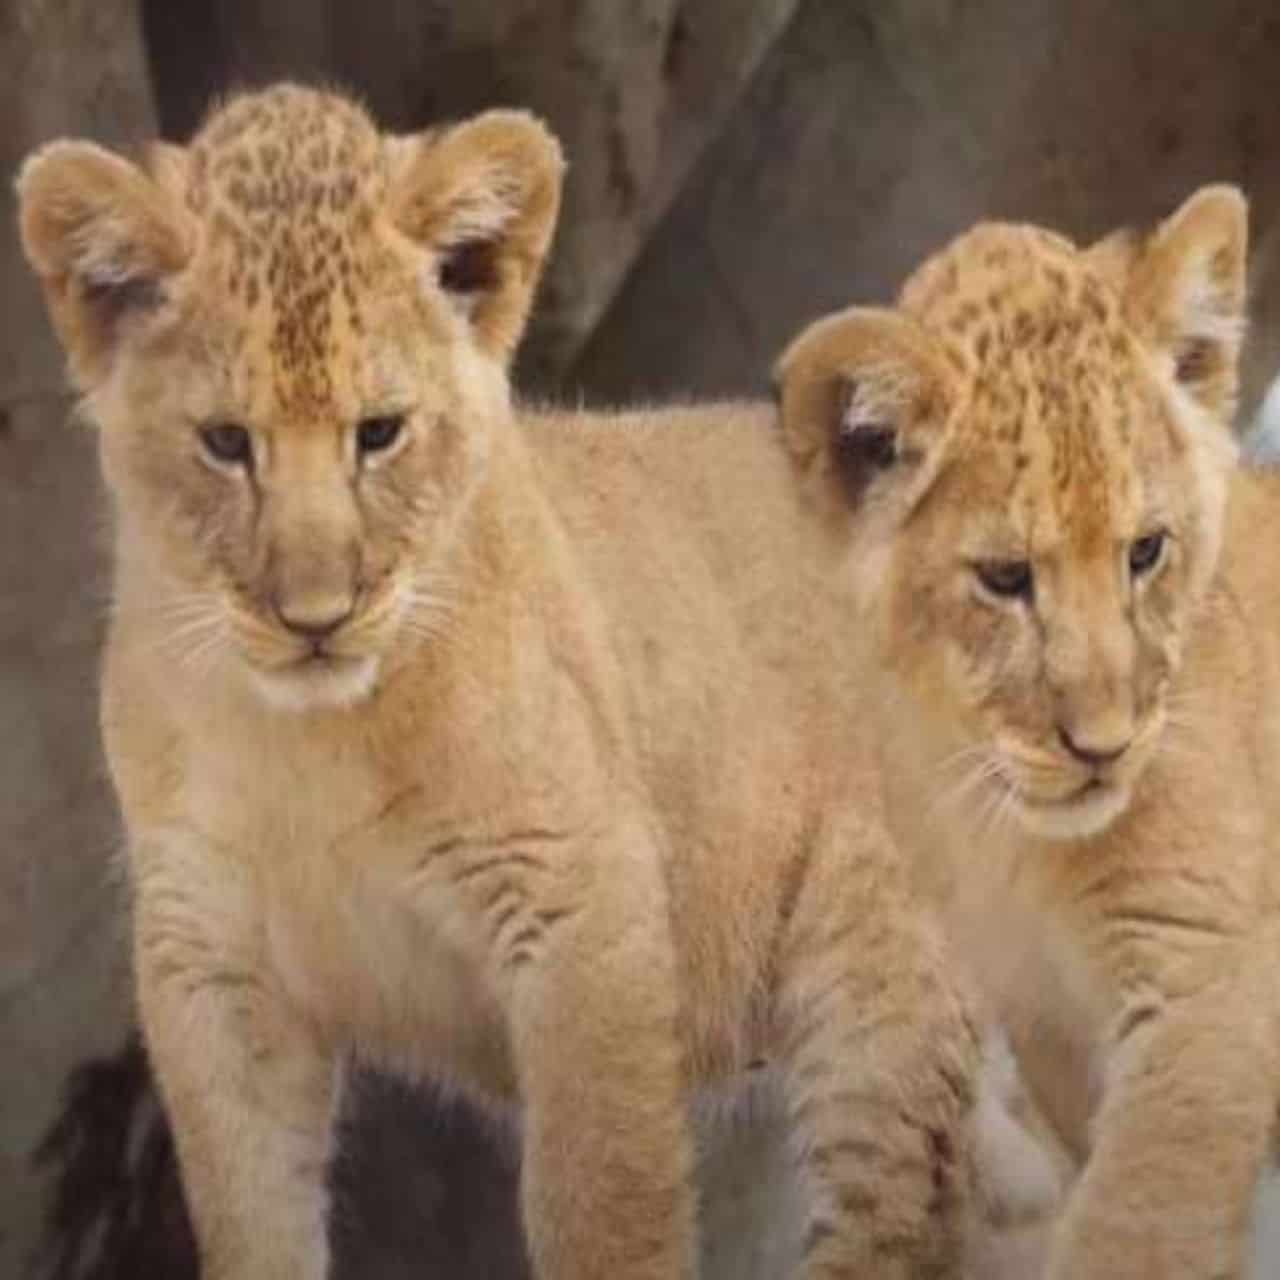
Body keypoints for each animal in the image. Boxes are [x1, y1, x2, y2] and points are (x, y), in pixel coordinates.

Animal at [16, 84, 985, 1279]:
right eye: (225, 442)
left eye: (379, 433)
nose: (314, 616)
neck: (304, 747)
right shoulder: (208, 958)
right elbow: (251, 1218)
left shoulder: (580, 898)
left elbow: (603, 1206)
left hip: (884, 985)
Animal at [775, 186, 1280, 1277]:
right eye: (1005, 579)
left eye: (1146, 551)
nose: (1103, 746)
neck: (1008, 841)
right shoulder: (1039, 1011)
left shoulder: (1204, 987)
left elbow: (1136, 1224)